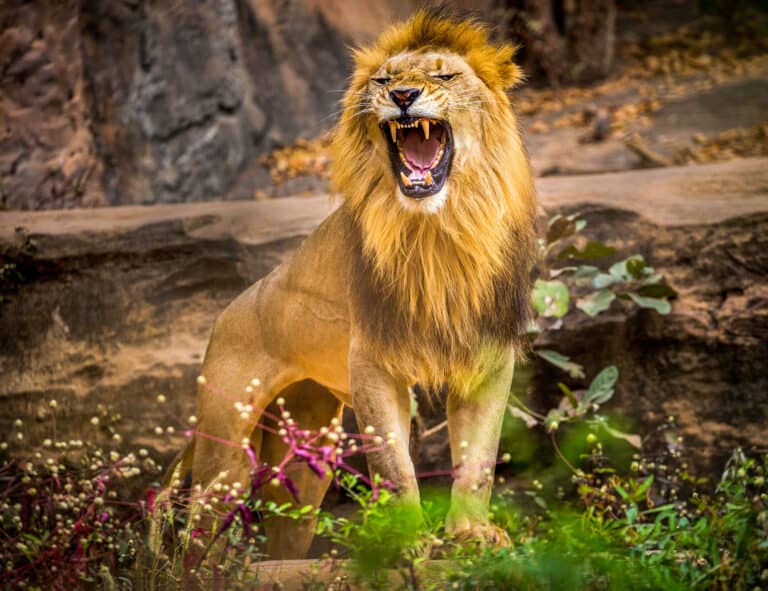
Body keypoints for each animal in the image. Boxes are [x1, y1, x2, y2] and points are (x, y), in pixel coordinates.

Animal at [167, 11, 537, 560]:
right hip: (225, 454)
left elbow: (479, 461)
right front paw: (407, 541)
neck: (438, 231)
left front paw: (473, 534)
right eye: (383, 80)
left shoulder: (488, 355)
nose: (403, 95)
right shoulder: (373, 360)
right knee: (196, 536)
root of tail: (226, 313)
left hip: (304, 464)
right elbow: (394, 464)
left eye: (446, 76)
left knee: (284, 533)